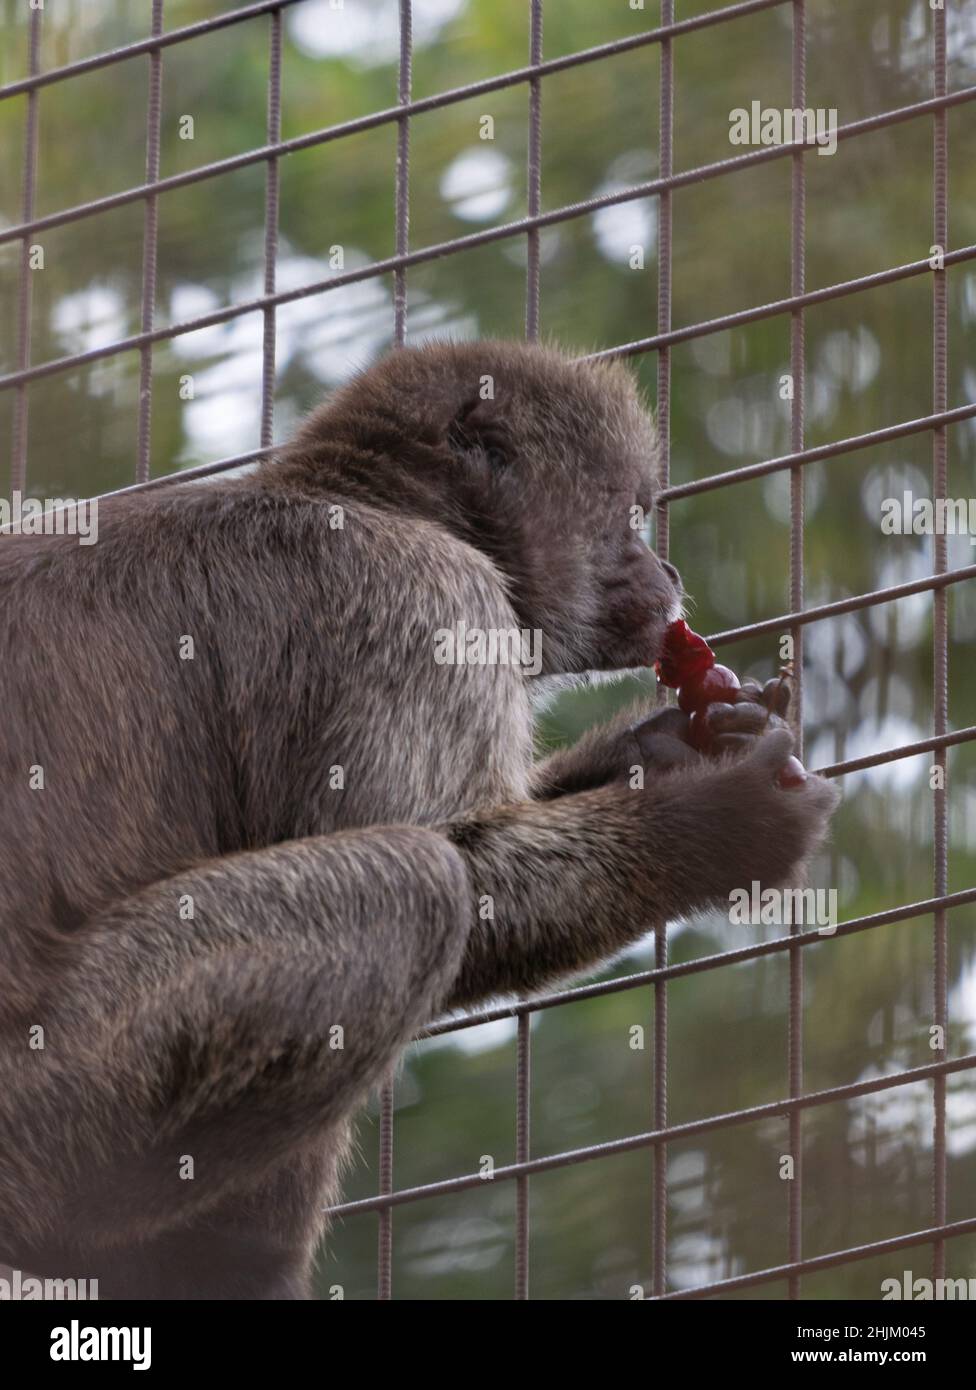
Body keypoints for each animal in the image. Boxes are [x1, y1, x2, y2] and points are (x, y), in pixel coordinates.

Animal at [0, 340, 839, 1300]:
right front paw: (714, 819)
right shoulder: (421, 599)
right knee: (414, 886)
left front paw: (663, 750)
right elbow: (460, 875)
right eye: (632, 519)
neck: (366, 503)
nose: (667, 573)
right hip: (47, 1095)